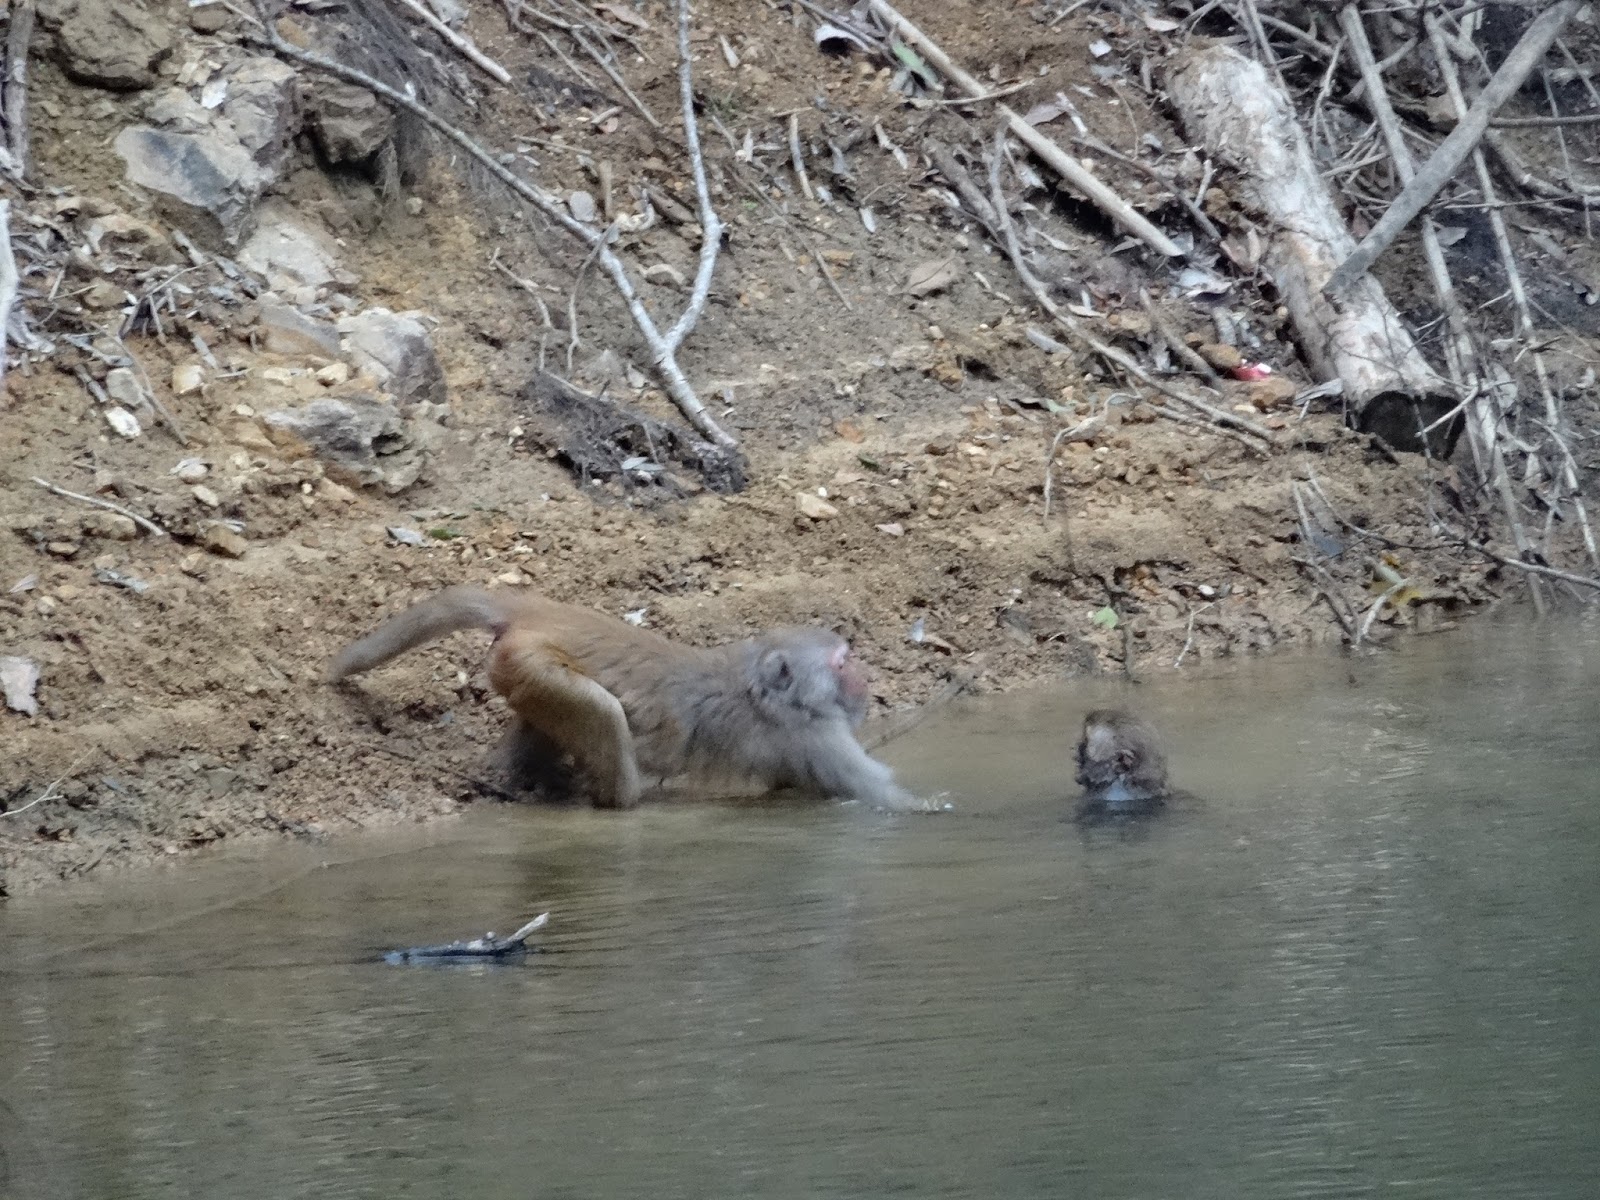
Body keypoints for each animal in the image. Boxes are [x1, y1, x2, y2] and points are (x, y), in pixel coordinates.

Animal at [328, 586, 922, 811]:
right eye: (842, 663)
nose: (866, 675)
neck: (765, 694)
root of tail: (537, 610)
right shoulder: (814, 736)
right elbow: (881, 797)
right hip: (531, 661)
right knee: (603, 713)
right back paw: (622, 799)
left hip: (521, 668)